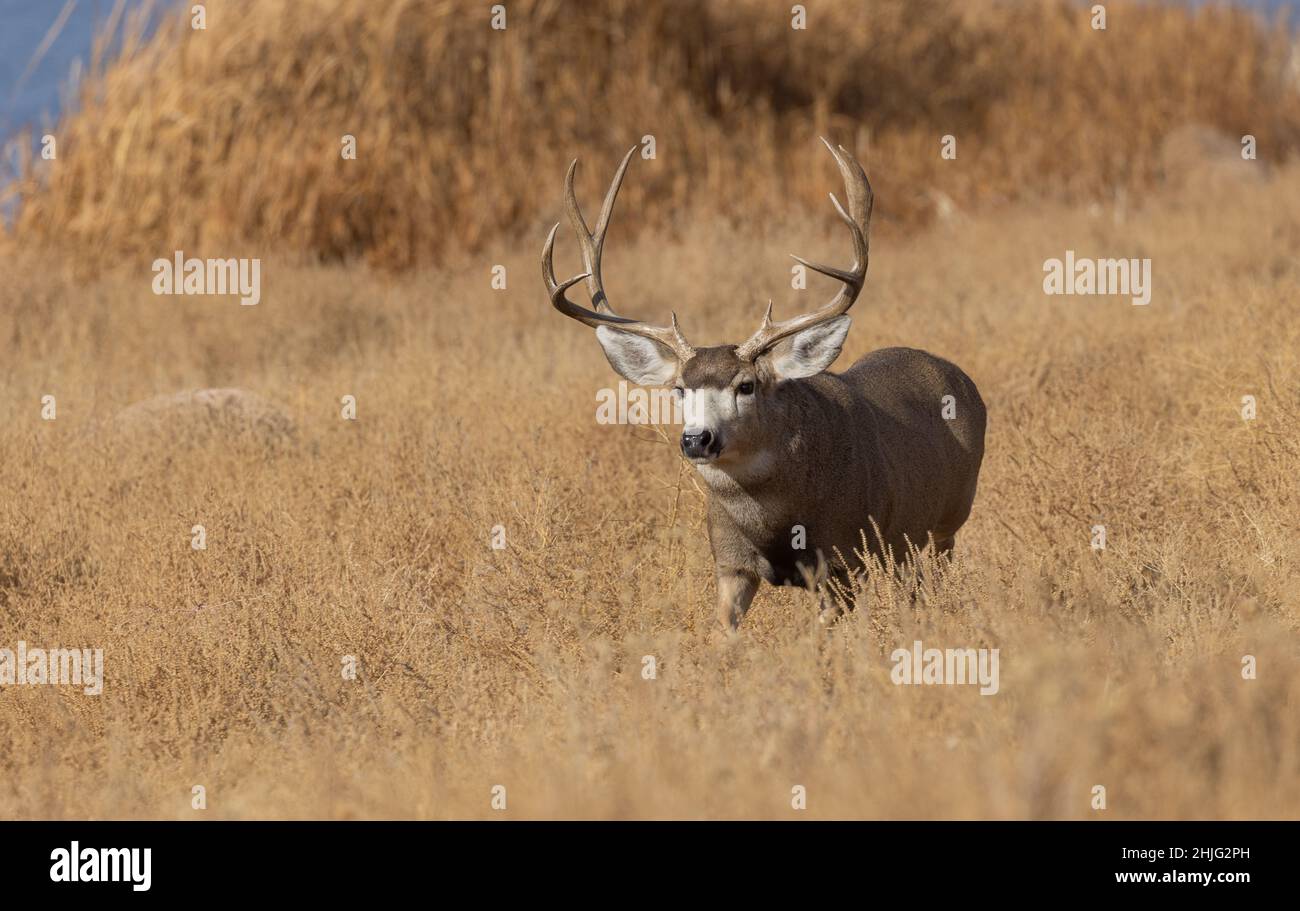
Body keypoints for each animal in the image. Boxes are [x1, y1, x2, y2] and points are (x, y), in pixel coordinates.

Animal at [542, 140, 986, 631]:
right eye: (679, 389)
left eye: (747, 385)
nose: (696, 438)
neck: (774, 520)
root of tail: (955, 373)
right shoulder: (729, 562)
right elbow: (725, 632)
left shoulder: (846, 559)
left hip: (945, 525)